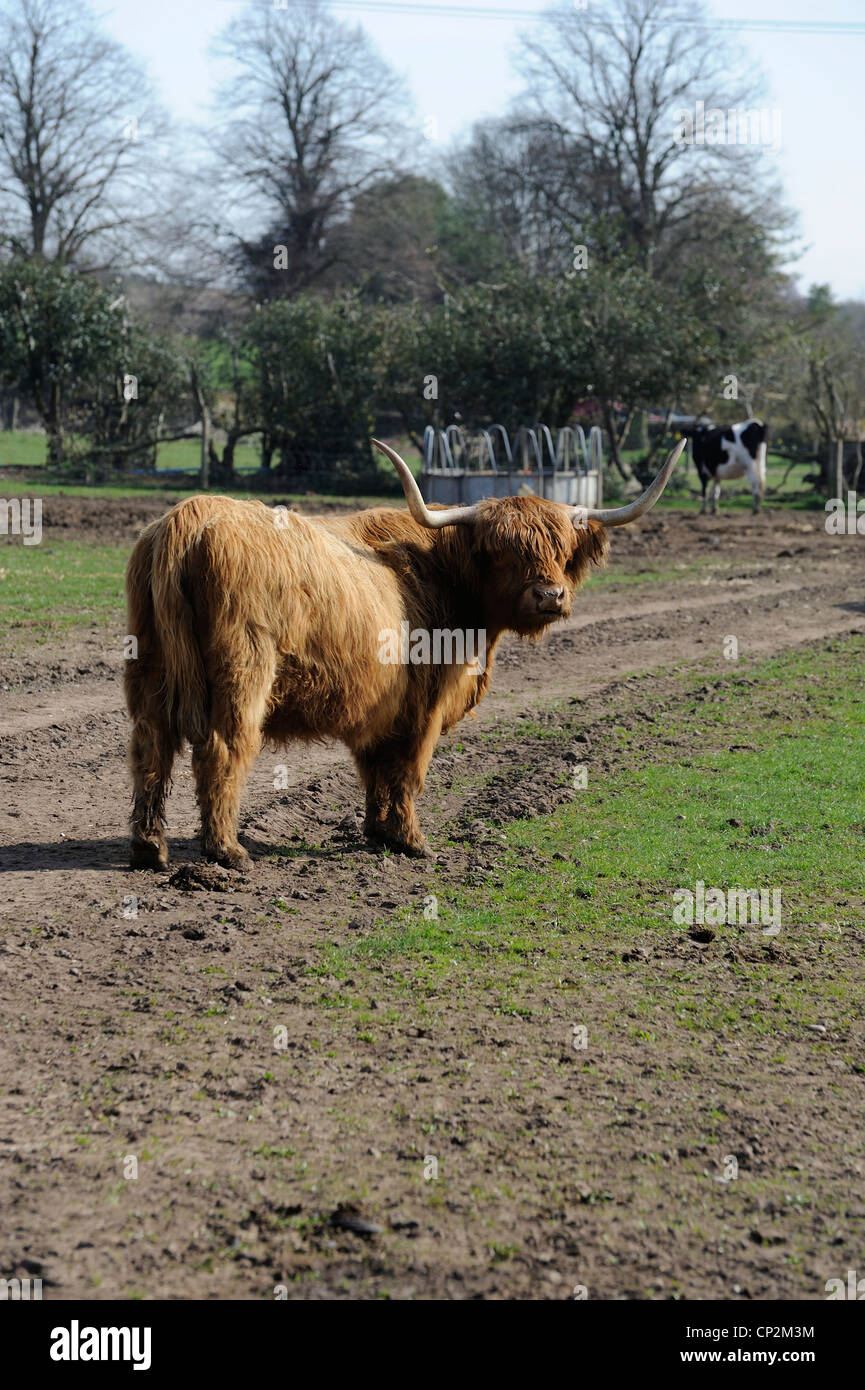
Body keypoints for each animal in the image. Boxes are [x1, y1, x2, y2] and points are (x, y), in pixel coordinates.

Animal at [123, 437, 685, 868]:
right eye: (502, 552)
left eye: (561, 550)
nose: (549, 596)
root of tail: (189, 518)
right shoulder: (424, 703)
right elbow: (410, 771)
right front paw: (413, 842)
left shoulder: (380, 705)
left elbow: (375, 770)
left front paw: (378, 833)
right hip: (244, 674)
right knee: (222, 748)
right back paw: (227, 851)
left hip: (149, 668)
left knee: (151, 748)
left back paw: (151, 848)